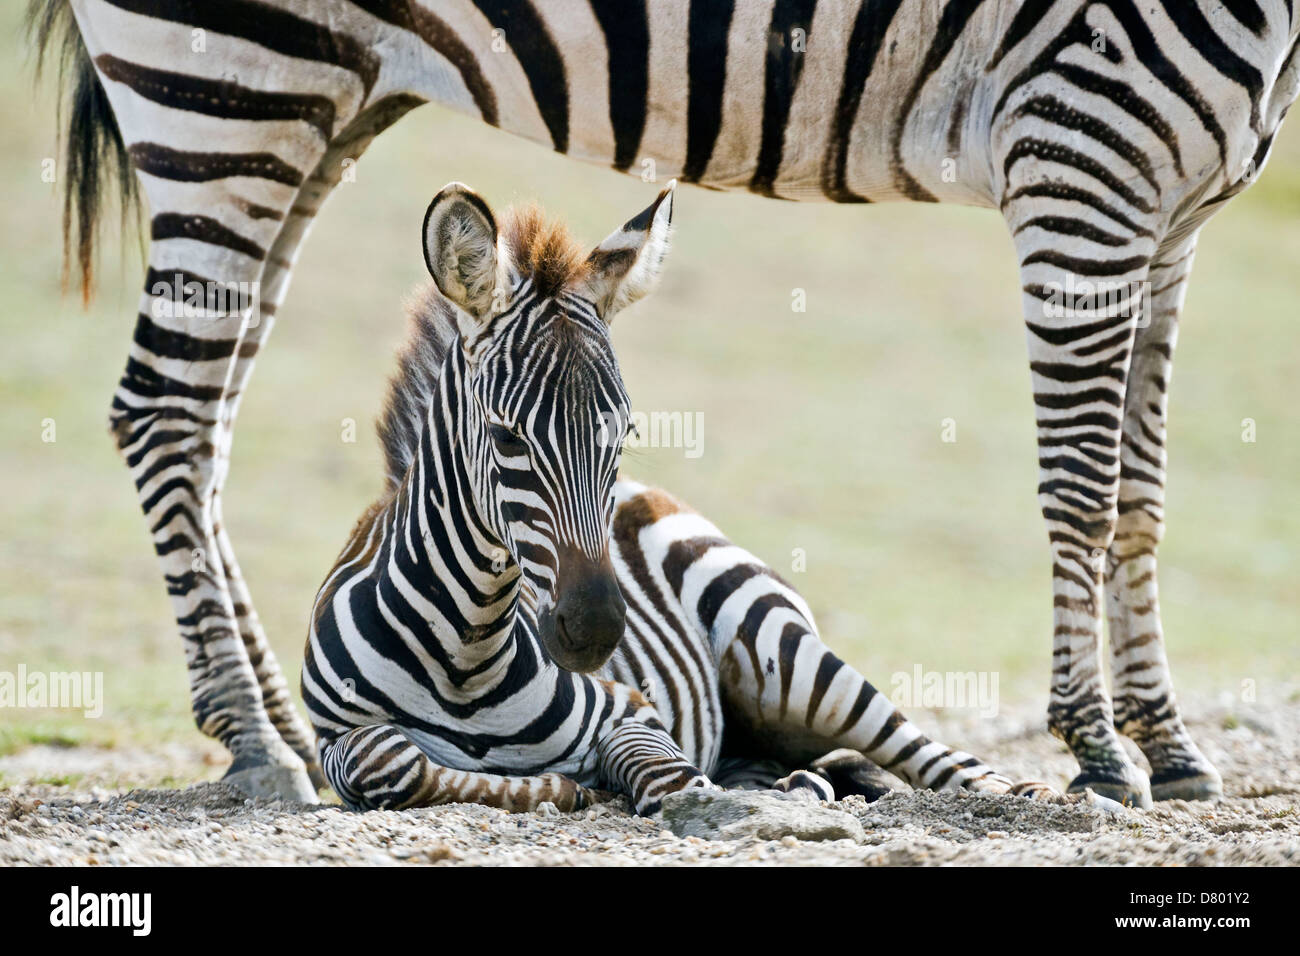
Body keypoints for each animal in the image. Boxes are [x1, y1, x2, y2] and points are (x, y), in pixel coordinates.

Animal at [305, 180, 1058, 814]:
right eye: (505, 434)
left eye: (625, 432)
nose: (597, 628)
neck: (464, 659)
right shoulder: (337, 740)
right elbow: (389, 759)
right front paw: (554, 786)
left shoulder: (629, 707)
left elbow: (669, 780)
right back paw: (796, 784)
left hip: (786, 656)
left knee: (923, 750)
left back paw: (1029, 794)